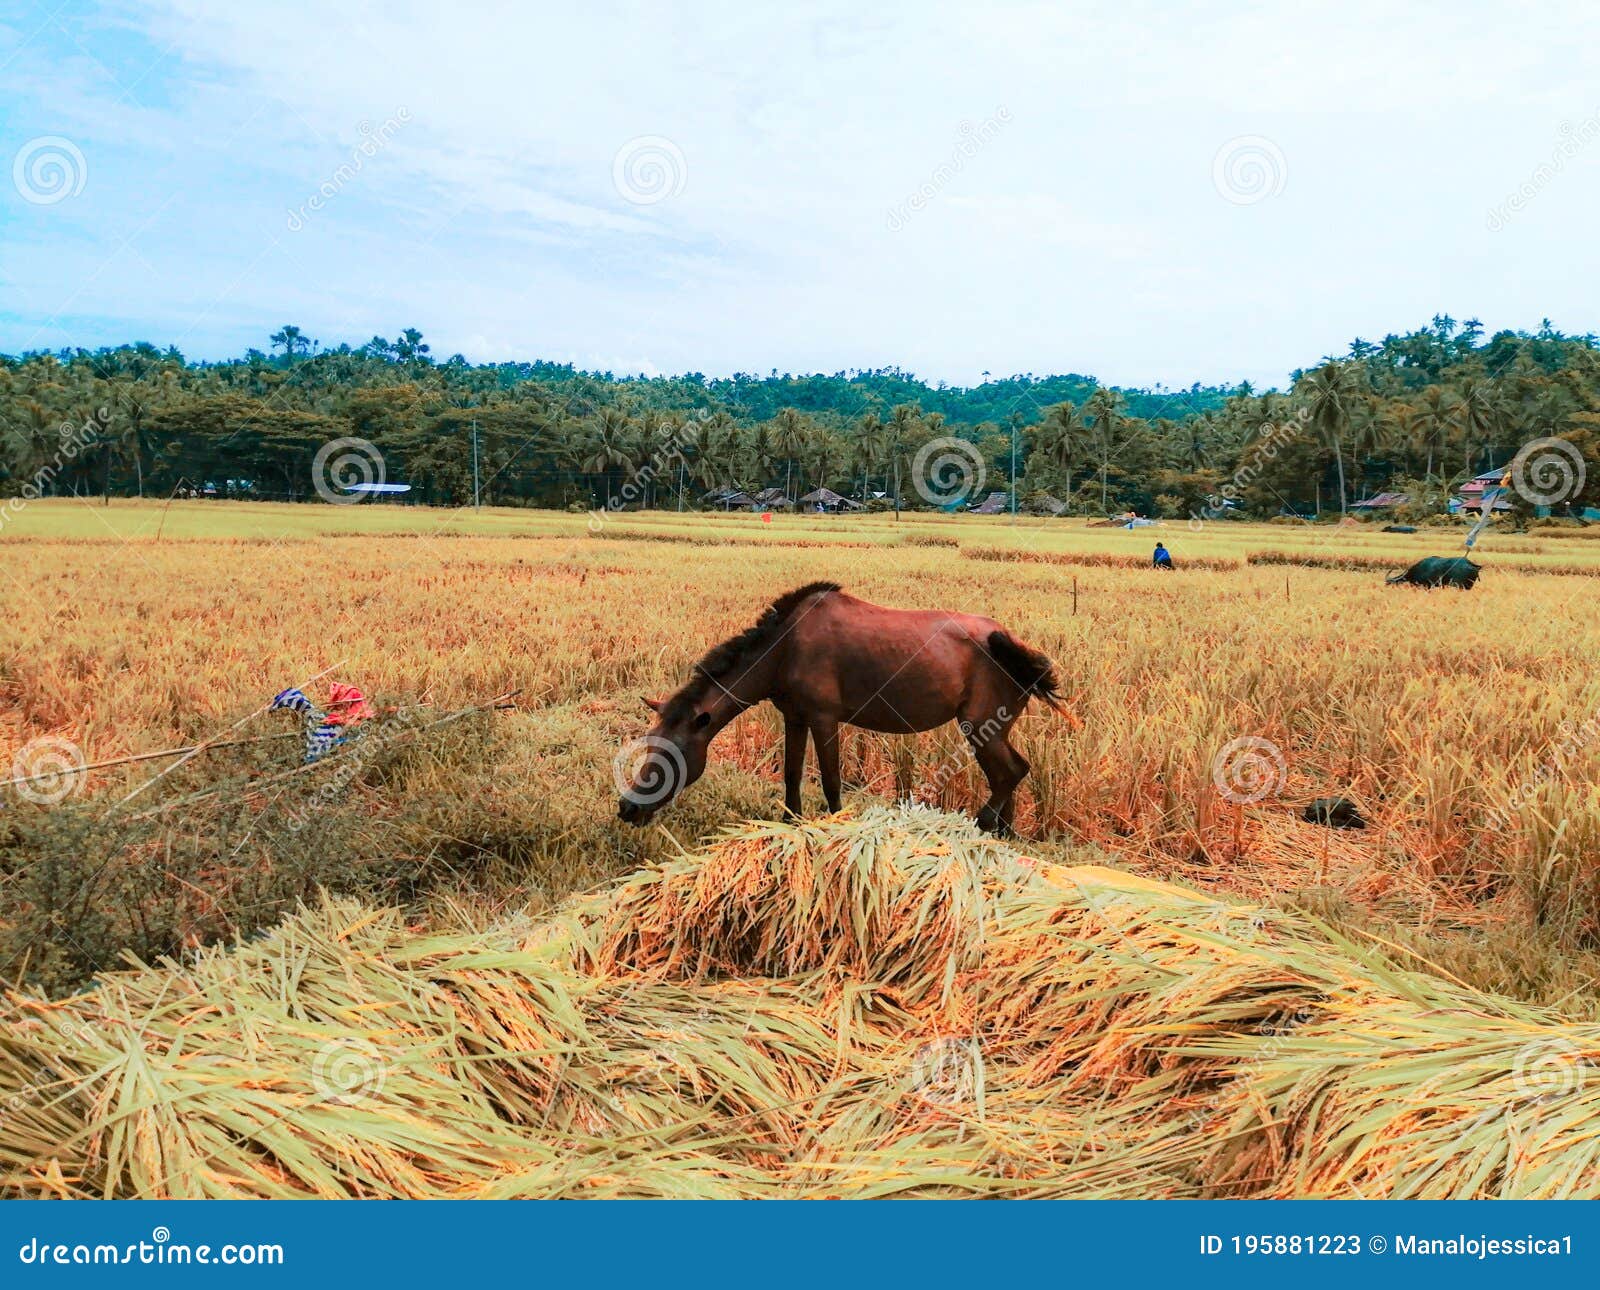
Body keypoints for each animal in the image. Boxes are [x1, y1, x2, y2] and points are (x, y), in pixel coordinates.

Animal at [616, 582, 1064, 835]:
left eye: (671, 755)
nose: (627, 808)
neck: (783, 650)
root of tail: (1011, 644)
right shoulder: (794, 716)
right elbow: (792, 774)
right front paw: (790, 823)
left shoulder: (825, 718)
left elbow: (831, 781)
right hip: (993, 728)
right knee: (1010, 774)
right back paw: (1002, 835)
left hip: (979, 724)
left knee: (1010, 773)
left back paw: (981, 826)